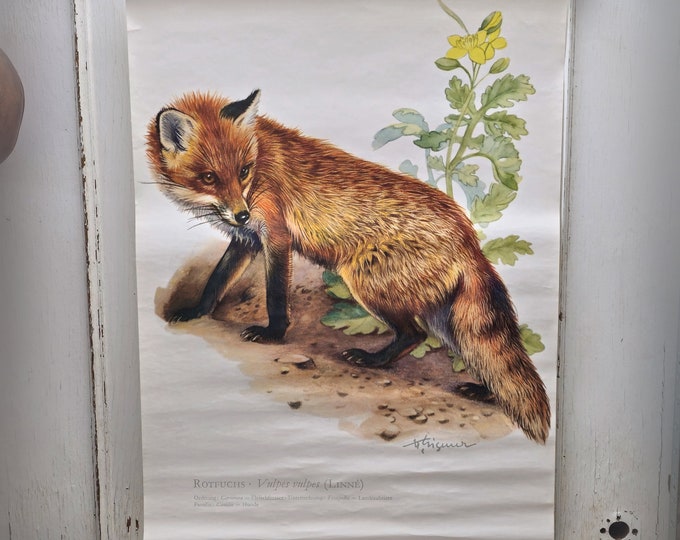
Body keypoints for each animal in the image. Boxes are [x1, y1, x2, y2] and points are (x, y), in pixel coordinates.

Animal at [146, 90, 550, 444]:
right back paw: (484, 392)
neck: (261, 160)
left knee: (415, 334)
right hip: (443, 315)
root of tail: (467, 233)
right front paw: (195, 310)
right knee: (479, 357)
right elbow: (216, 282)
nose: (242, 214)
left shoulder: (275, 235)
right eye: (209, 178)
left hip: (366, 282)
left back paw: (373, 360)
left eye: (244, 171)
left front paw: (273, 333)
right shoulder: (247, 240)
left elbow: (275, 296)